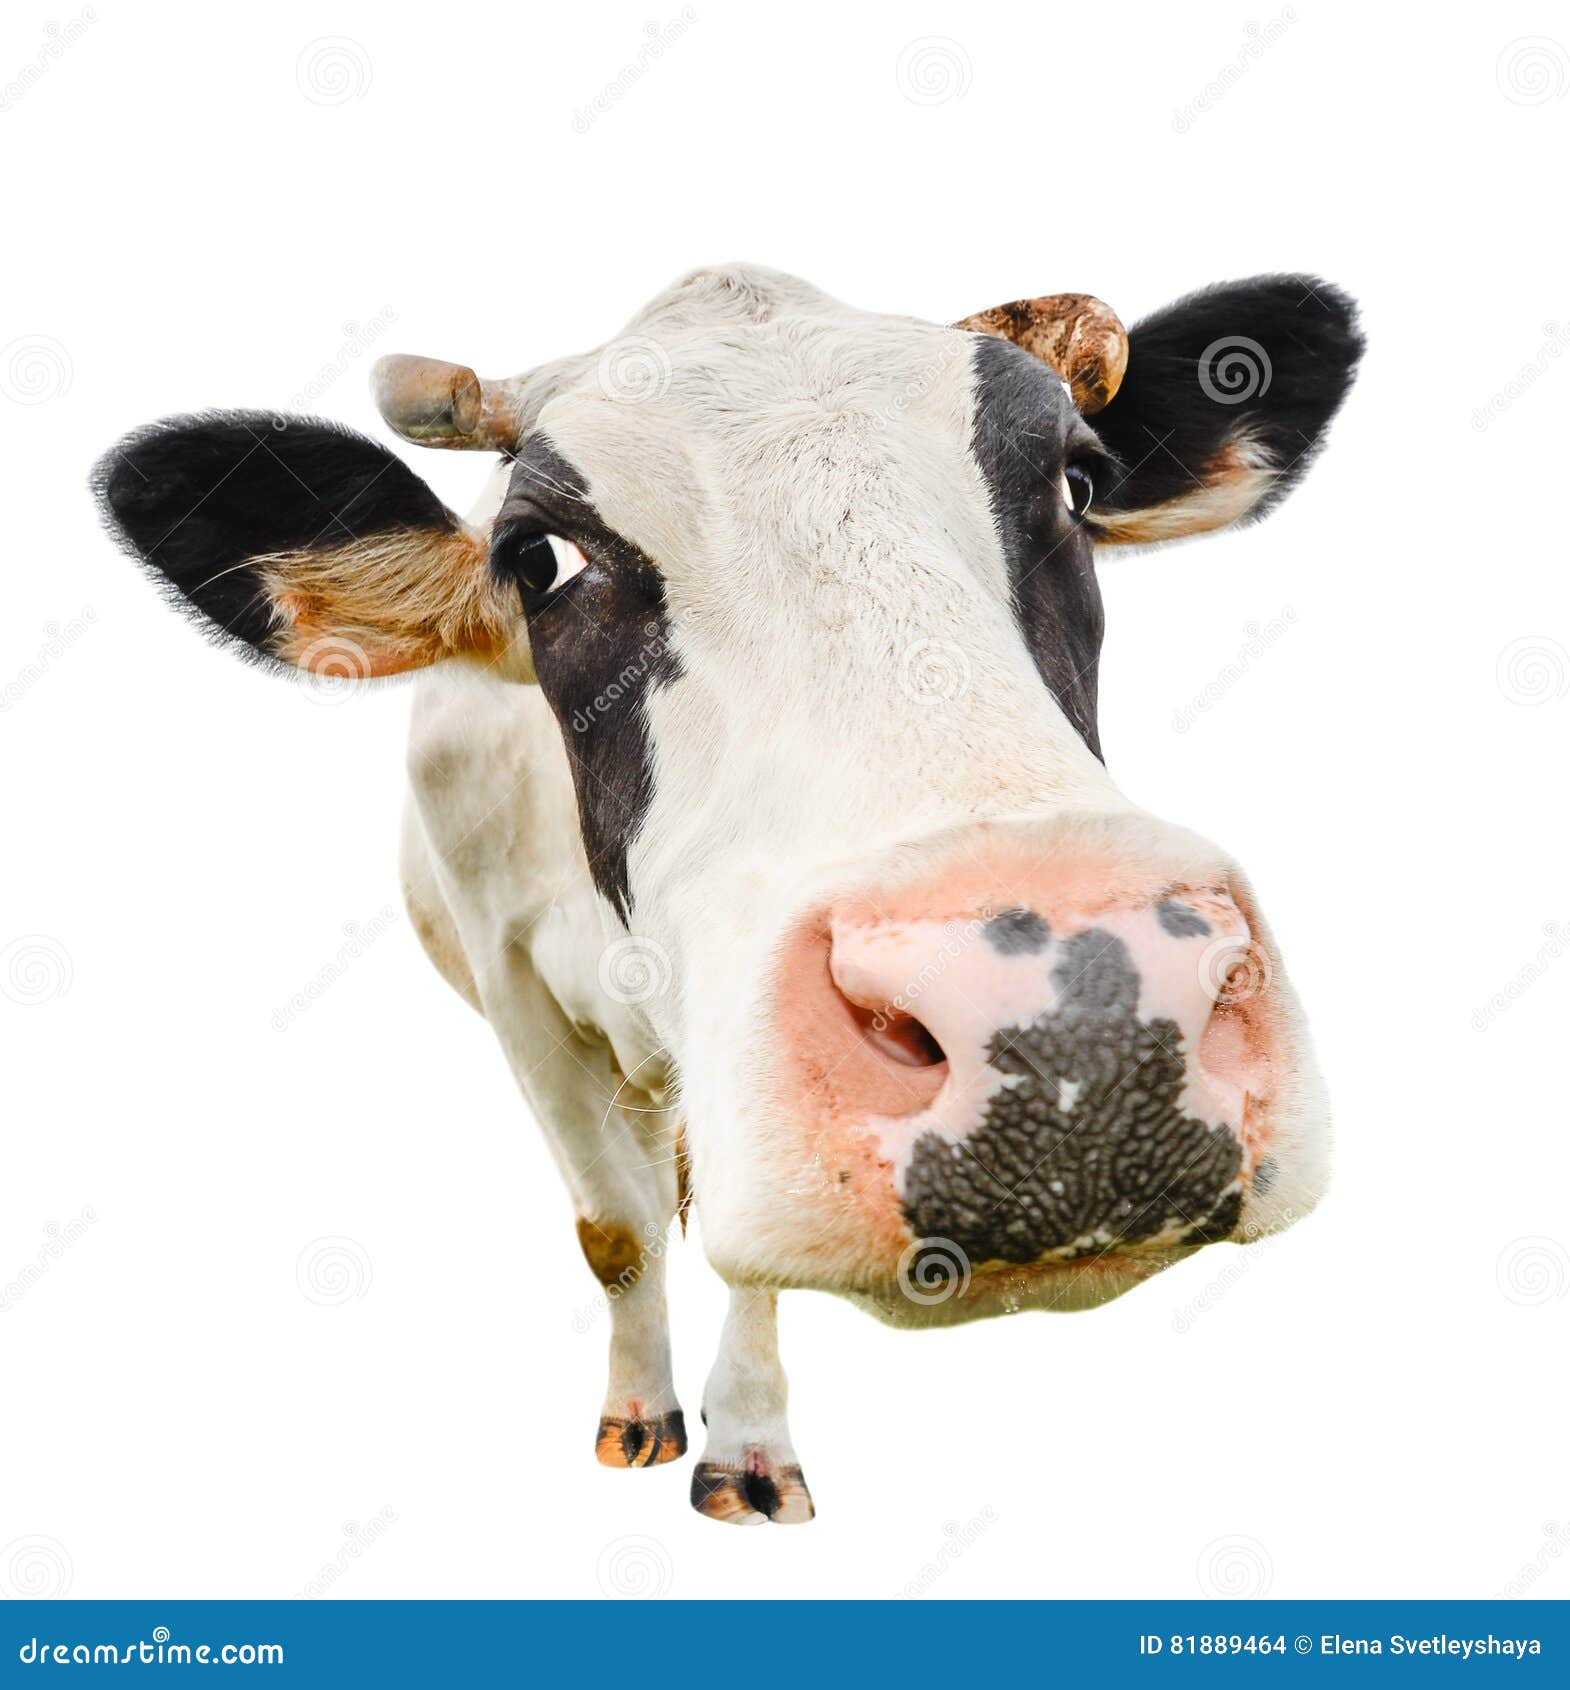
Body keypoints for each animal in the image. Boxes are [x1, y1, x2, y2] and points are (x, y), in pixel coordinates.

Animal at [94, 264, 1361, 1524]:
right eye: (536, 559)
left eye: (1077, 481)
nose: (1082, 1034)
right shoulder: (513, 987)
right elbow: (615, 1229)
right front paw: (637, 1416)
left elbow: (741, 1255)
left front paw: (746, 1445)